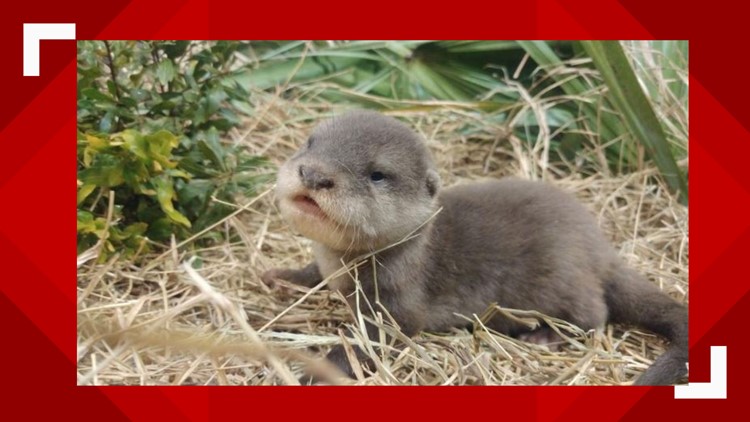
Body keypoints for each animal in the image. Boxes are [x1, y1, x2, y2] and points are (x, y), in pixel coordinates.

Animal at [262, 110, 688, 385]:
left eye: (377, 174)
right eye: (311, 143)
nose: (314, 174)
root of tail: (601, 249)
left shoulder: (396, 303)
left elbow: (374, 340)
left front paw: (311, 373)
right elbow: (312, 275)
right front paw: (282, 277)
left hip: (562, 277)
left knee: (594, 314)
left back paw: (544, 336)